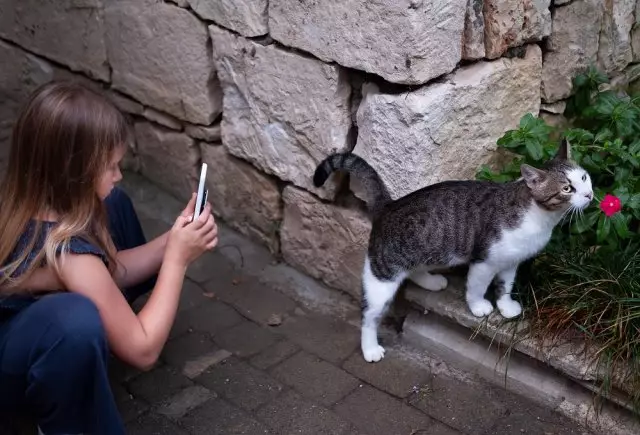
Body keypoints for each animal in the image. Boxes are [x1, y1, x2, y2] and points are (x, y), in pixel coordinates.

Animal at [316, 141, 596, 364]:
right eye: (567, 189)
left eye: (583, 178)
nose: (590, 195)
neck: (540, 217)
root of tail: (389, 205)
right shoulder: (485, 259)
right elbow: (477, 286)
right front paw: (479, 307)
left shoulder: (510, 260)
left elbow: (505, 285)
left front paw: (505, 306)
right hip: (382, 276)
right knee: (369, 314)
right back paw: (370, 347)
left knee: (415, 268)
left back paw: (431, 281)